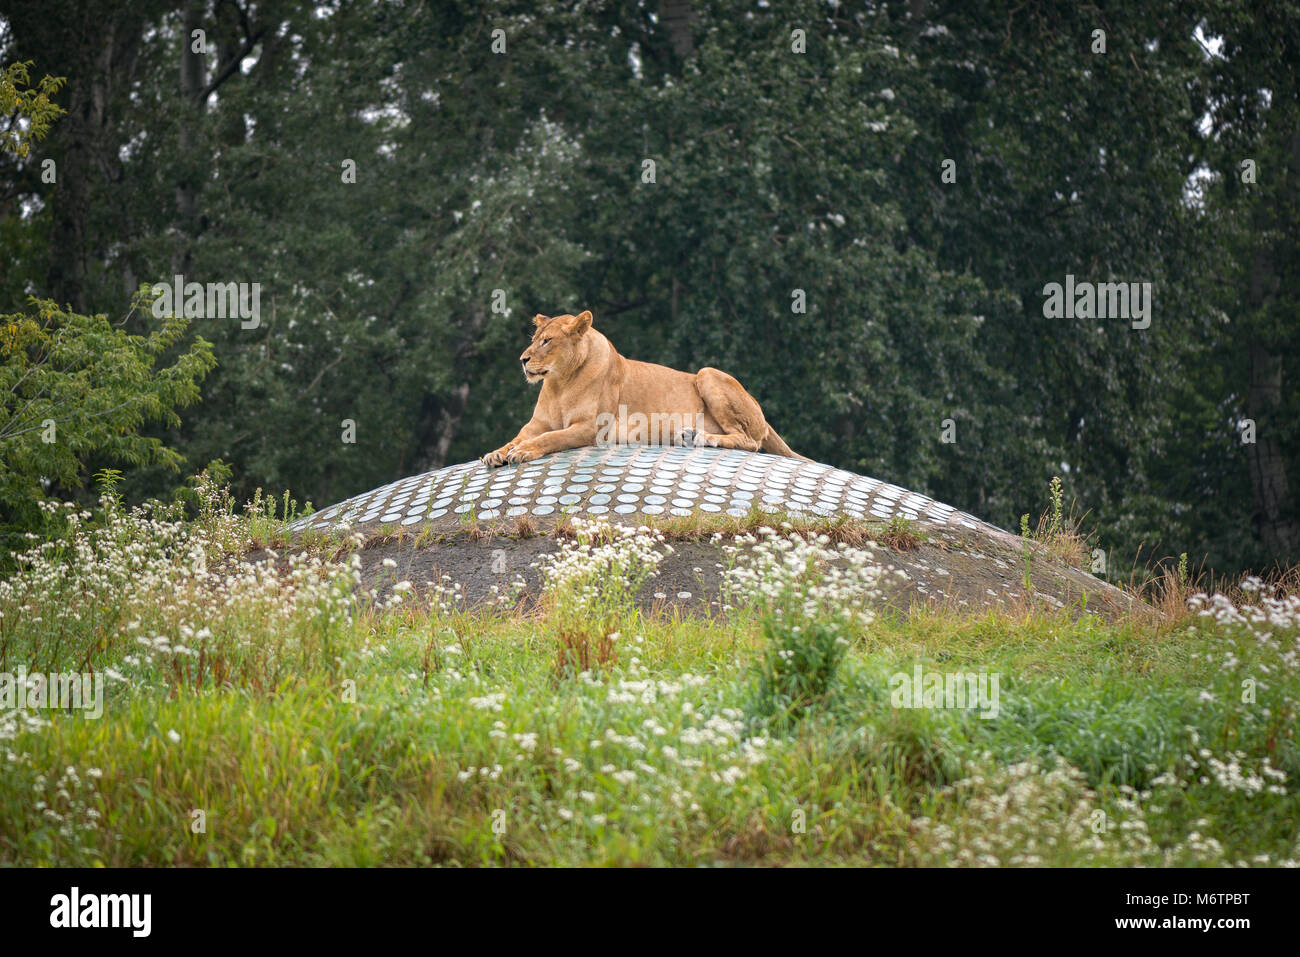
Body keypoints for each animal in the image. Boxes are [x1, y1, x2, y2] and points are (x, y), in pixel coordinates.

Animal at [482, 310, 807, 467]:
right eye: (534, 339)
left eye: (547, 341)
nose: (522, 360)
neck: (560, 383)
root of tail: (762, 414)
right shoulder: (535, 425)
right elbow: (516, 438)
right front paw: (497, 453)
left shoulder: (590, 428)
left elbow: (551, 438)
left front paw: (524, 452)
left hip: (707, 373)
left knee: (748, 441)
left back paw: (700, 436)